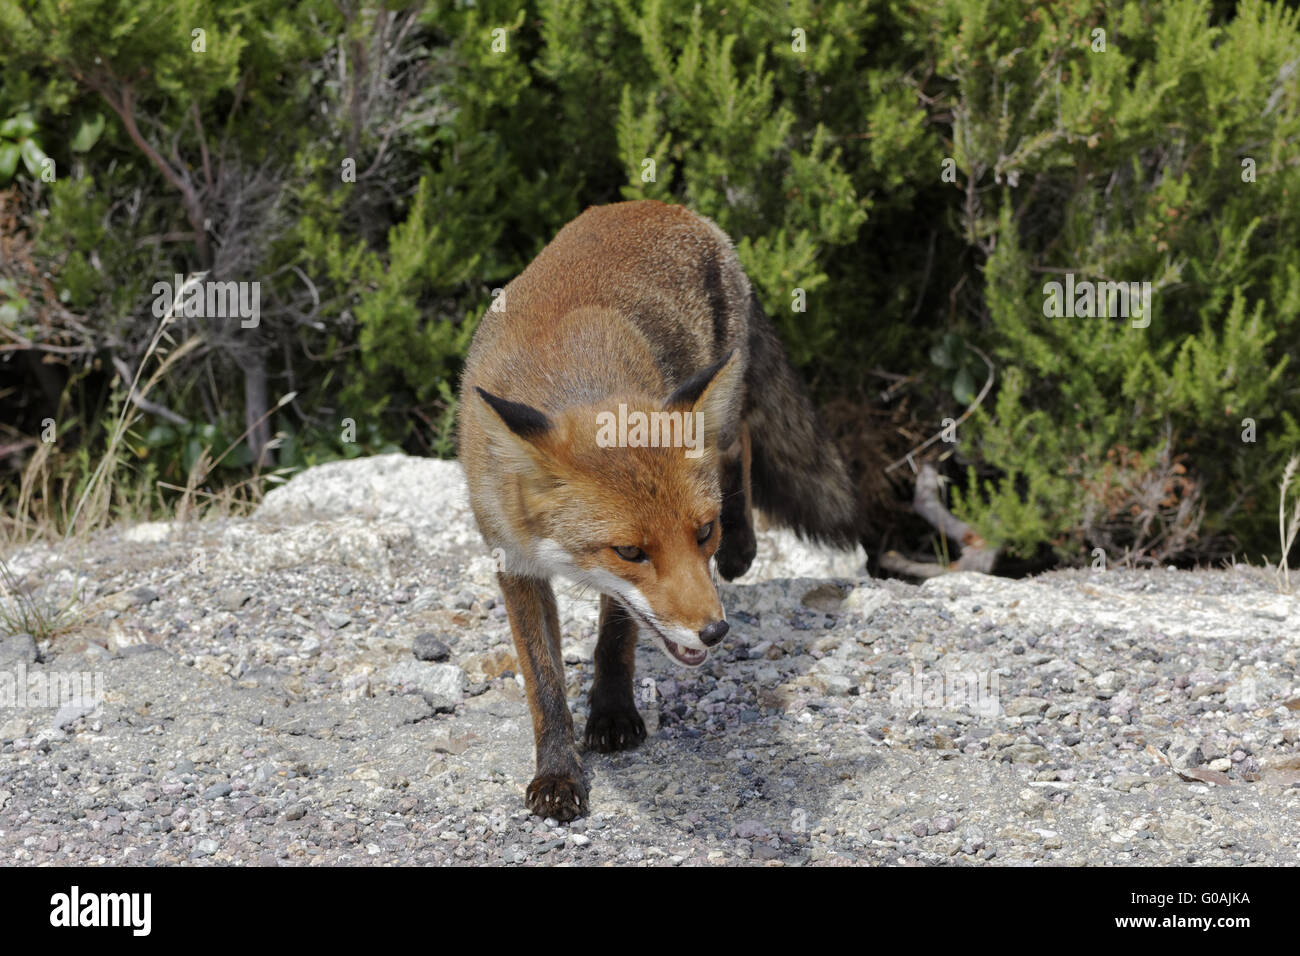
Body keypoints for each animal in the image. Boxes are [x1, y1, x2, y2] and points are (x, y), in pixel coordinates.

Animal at [458, 200, 858, 820]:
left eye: (704, 531)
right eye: (629, 551)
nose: (715, 631)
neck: (567, 372)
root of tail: (661, 205)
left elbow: (616, 636)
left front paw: (612, 713)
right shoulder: (514, 562)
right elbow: (543, 682)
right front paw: (558, 773)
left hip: (720, 394)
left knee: (736, 440)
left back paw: (743, 548)